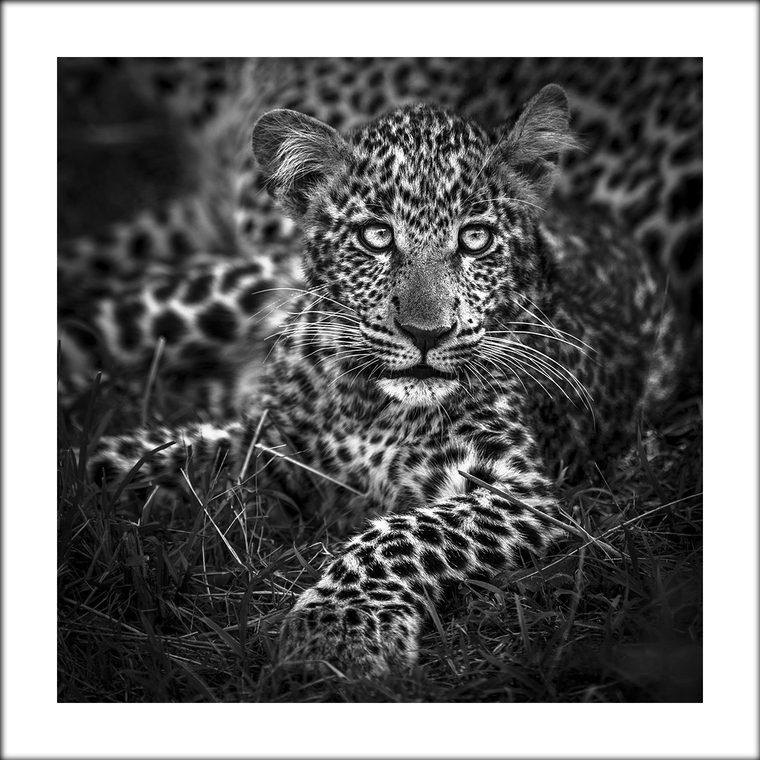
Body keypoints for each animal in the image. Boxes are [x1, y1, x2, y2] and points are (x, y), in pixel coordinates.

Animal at [58, 58, 700, 677]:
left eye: (475, 238)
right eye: (375, 236)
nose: (426, 333)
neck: (372, 404)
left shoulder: (522, 493)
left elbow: (404, 533)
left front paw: (338, 628)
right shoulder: (275, 441)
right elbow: (166, 453)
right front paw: (84, 480)